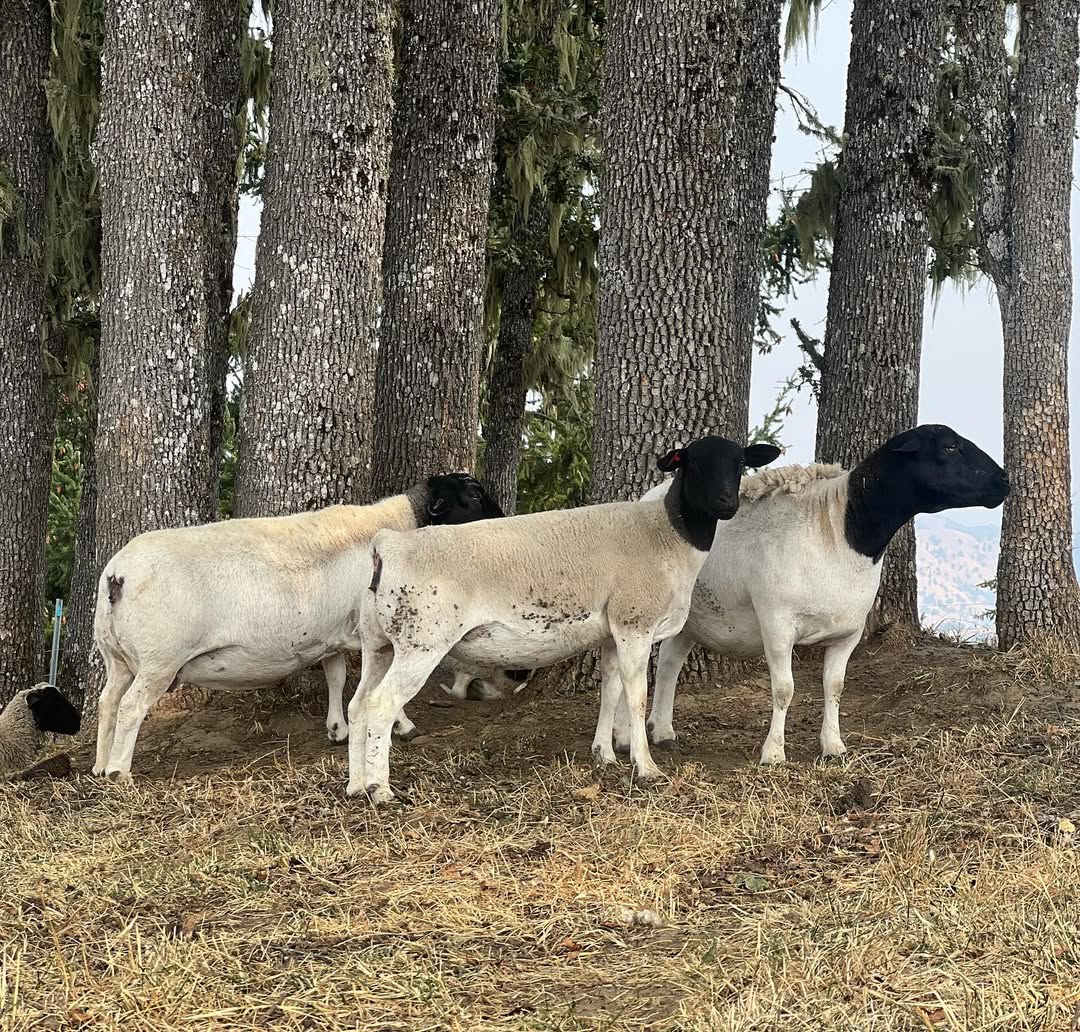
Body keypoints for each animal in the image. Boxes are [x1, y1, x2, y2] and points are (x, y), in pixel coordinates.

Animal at [92, 473, 512, 779]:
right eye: (474, 493)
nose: (506, 519)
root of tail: (117, 574)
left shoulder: (331, 635)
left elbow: (336, 677)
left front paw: (337, 729)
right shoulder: (373, 633)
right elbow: (375, 683)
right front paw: (403, 726)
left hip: (117, 657)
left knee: (107, 702)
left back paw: (99, 765)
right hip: (159, 660)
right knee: (130, 707)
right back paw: (119, 773)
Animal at [345, 436, 781, 803]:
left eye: (741, 463)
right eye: (694, 463)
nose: (727, 503)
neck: (668, 534)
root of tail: (388, 546)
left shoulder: (610, 632)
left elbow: (610, 689)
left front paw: (604, 754)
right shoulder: (634, 622)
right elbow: (636, 696)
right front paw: (646, 768)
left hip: (379, 641)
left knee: (358, 704)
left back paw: (355, 785)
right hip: (422, 640)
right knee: (381, 704)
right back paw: (380, 790)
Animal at [607, 424, 1009, 765]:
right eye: (950, 446)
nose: (1004, 480)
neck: (842, 529)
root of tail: (655, 493)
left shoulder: (849, 632)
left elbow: (835, 686)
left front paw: (833, 746)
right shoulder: (777, 624)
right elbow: (784, 689)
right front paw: (773, 753)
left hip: (693, 616)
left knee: (670, 662)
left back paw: (663, 730)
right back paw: (626, 737)